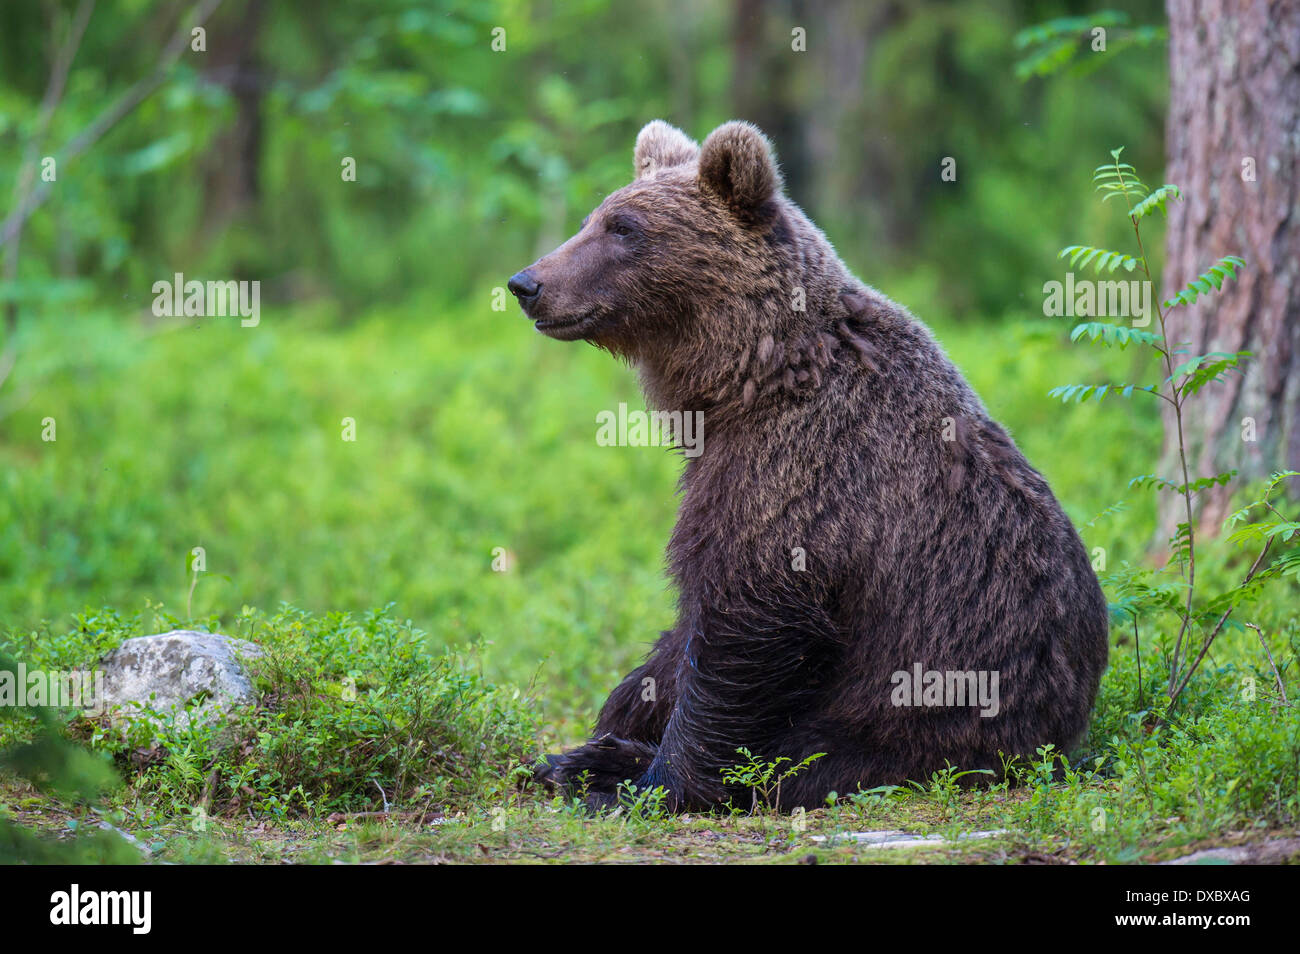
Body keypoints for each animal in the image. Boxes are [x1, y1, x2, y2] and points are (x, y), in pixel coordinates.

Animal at [508, 120, 1110, 812]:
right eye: (592, 218)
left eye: (623, 228)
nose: (527, 283)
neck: (751, 379)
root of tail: (1068, 725)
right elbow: (679, 641)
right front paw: (611, 723)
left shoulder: (801, 473)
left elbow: (743, 624)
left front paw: (647, 780)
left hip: (928, 711)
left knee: (818, 756)